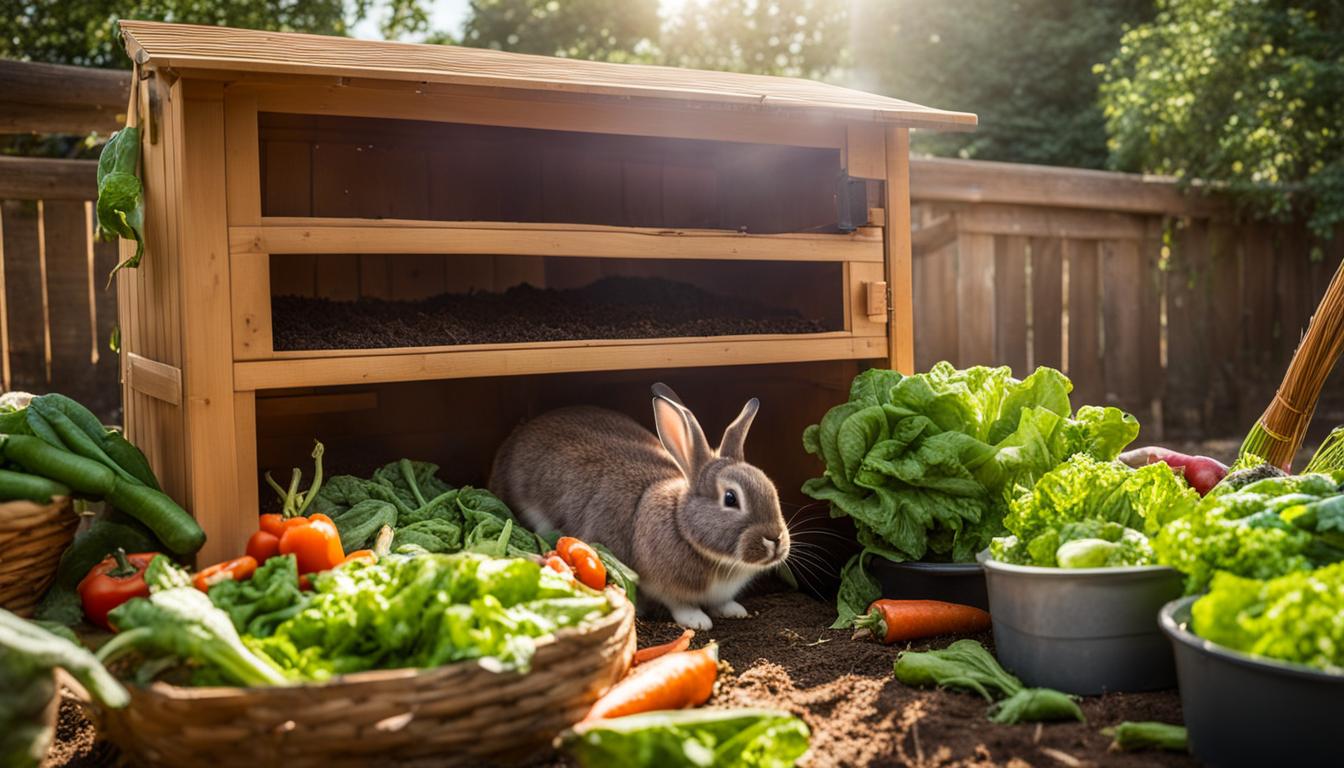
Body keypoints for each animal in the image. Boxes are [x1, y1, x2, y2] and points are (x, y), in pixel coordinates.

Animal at [489, 383, 790, 630]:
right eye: (730, 499)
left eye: (769, 486)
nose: (775, 539)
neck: (681, 525)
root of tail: (515, 439)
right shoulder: (659, 585)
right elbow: (680, 604)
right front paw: (698, 621)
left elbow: (721, 602)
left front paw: (734, 610)